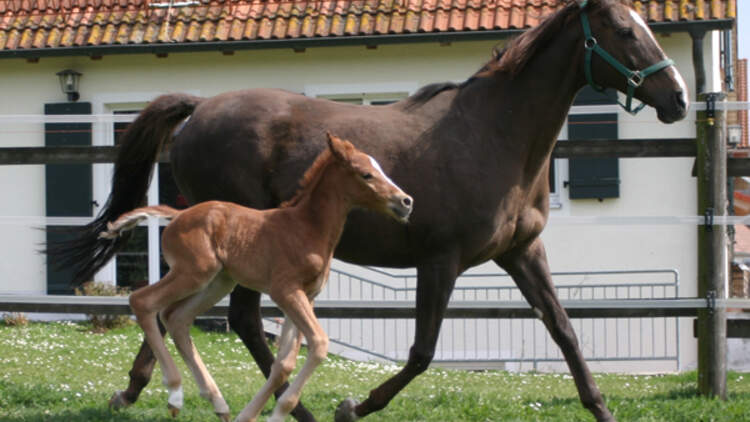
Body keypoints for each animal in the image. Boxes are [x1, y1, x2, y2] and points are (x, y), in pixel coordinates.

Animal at [98, 133, 413, 422]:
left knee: (175, 318)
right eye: (366, 174)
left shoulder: (307, 297)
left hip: (218, 282)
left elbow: (284, 363)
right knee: (143, 302)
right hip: (194, 273)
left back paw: (218, 403)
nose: (405, 201)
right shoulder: (285, 291)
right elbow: (319, 344)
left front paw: (268, 414)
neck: (307, 228)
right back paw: (175, 393)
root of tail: (178, 215)